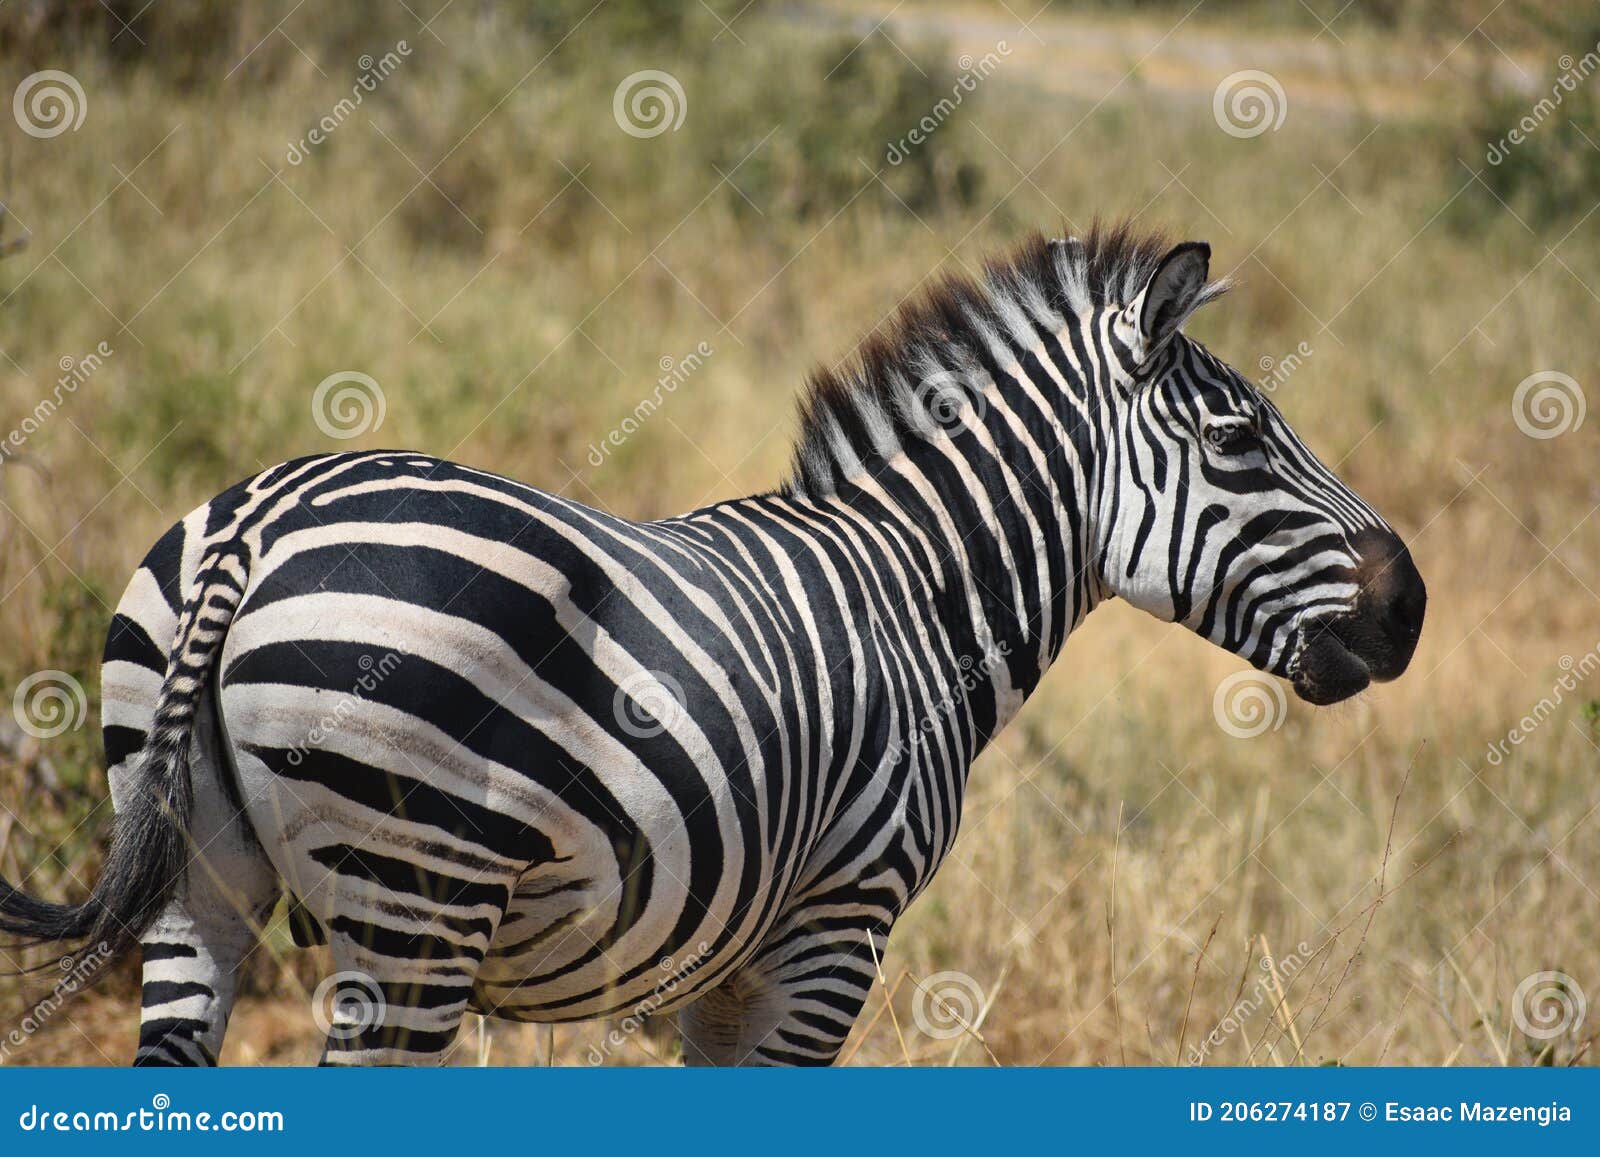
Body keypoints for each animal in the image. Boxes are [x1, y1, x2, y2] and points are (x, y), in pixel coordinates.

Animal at [0, 223, 1424, 1066]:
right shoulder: (835, 931)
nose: (1408, 604)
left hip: (198, 876)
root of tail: (259, 521)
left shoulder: (725, 964)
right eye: (1237, 438)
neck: (918, 596)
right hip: (419, 898)